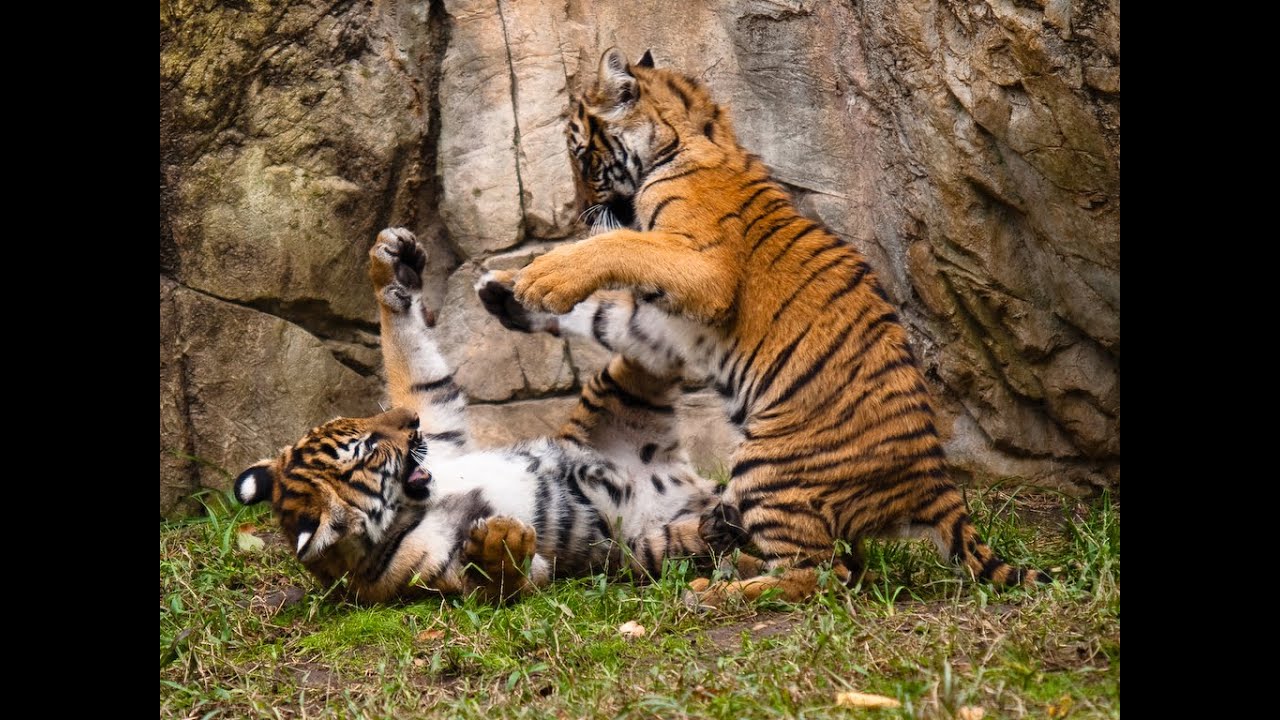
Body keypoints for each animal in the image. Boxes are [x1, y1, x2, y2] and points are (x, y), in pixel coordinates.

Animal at [233, 227, 722, 603]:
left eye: (359, 425)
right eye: (369, 449)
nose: (408, 422)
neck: (415, 502)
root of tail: (690, 483)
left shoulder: (437, 424)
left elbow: (418, 371)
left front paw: (392, 267)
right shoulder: (436, 572)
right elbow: (505, 580)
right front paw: (499, 542)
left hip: (617, 388)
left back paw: (511, 289)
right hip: (639, 545)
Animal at [480, 47, 1051, 606]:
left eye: (581, 157)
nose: (578, 214)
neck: (692, 136)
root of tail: (935, 478)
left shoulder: (701, 271)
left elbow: (617, 246)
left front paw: (542, 278)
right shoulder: (663, 325)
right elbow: (602, 313)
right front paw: (501, 290)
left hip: (767, 466)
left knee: (821, 576)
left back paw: (717, 592)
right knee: (846, 566)